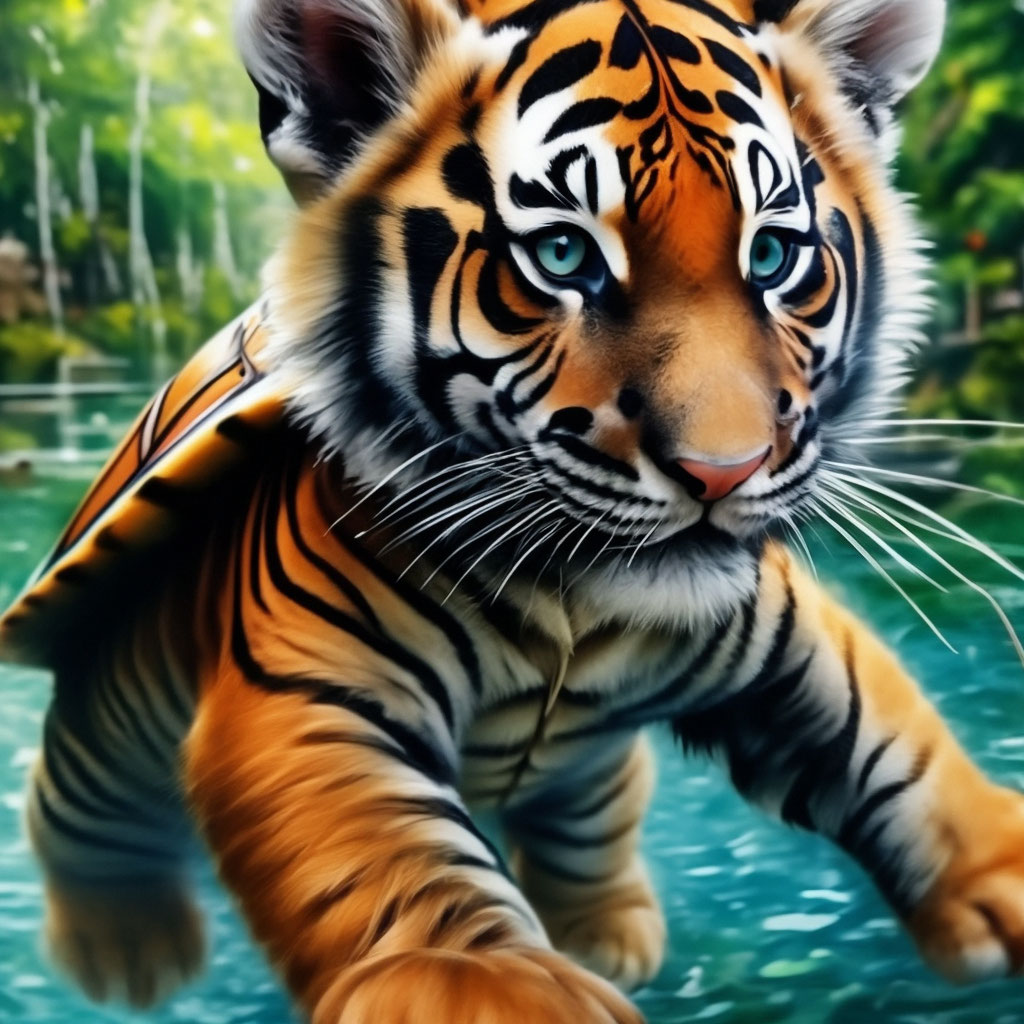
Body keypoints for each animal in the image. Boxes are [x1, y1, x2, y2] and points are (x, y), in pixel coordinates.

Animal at [3, 0, 1024, 1021]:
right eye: (563, 255)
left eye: (772, 255)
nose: (723, 473)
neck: (580, 603)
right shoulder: (304, 694)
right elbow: (390, 866)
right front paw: (487, 988)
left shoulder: (784, 638)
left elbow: (894, 742)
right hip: (111, 706)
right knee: (75, 799)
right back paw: (125, 949)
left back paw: (610, 930)